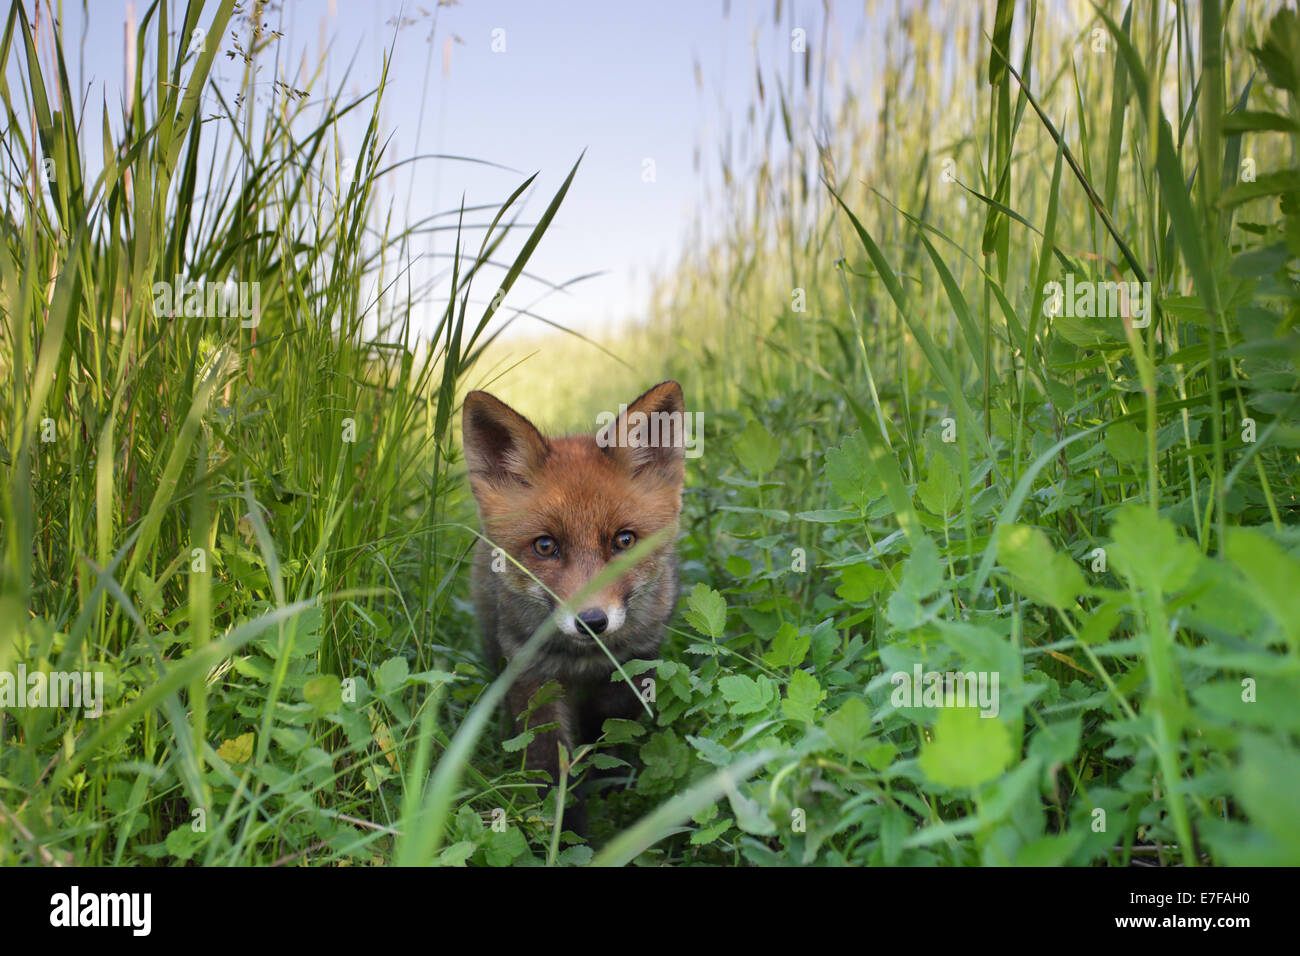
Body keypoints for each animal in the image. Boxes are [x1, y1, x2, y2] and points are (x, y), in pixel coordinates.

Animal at [462, 381, 687, 828]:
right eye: (545, 546)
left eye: (624, 540)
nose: (591, 621)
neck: (583, 660)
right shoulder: (531, 672)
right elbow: (550, 766)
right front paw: (569, 830)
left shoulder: (639, 654)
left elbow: (611, 722)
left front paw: (606, 774)